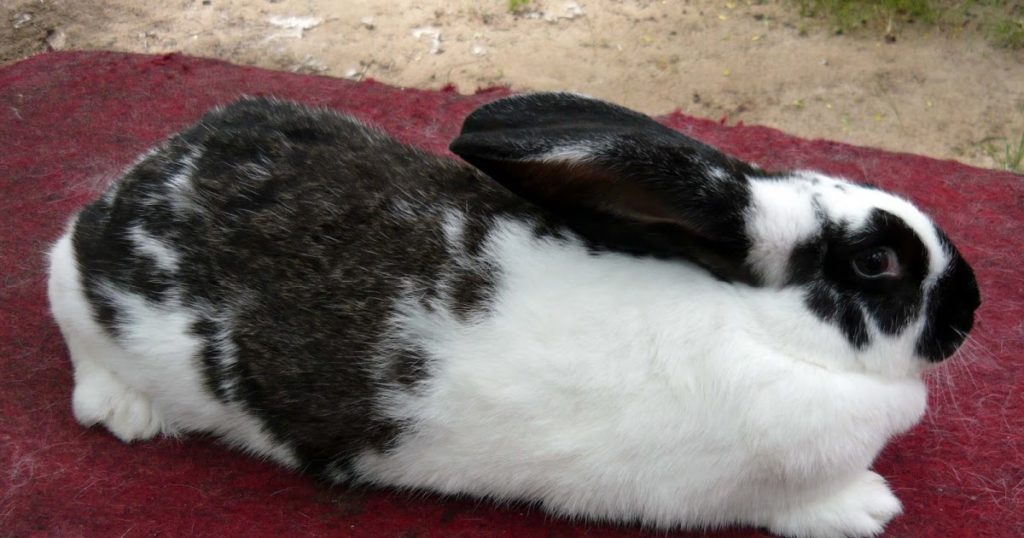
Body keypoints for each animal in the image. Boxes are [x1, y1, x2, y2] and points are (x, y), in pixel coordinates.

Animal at [47, 93, 980, 537]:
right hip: (97, 316)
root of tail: (120, 198)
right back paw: (127, 411)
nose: (971, 307)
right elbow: (804, 506)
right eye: (877, 263)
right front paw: (867, 509)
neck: (764, 328)